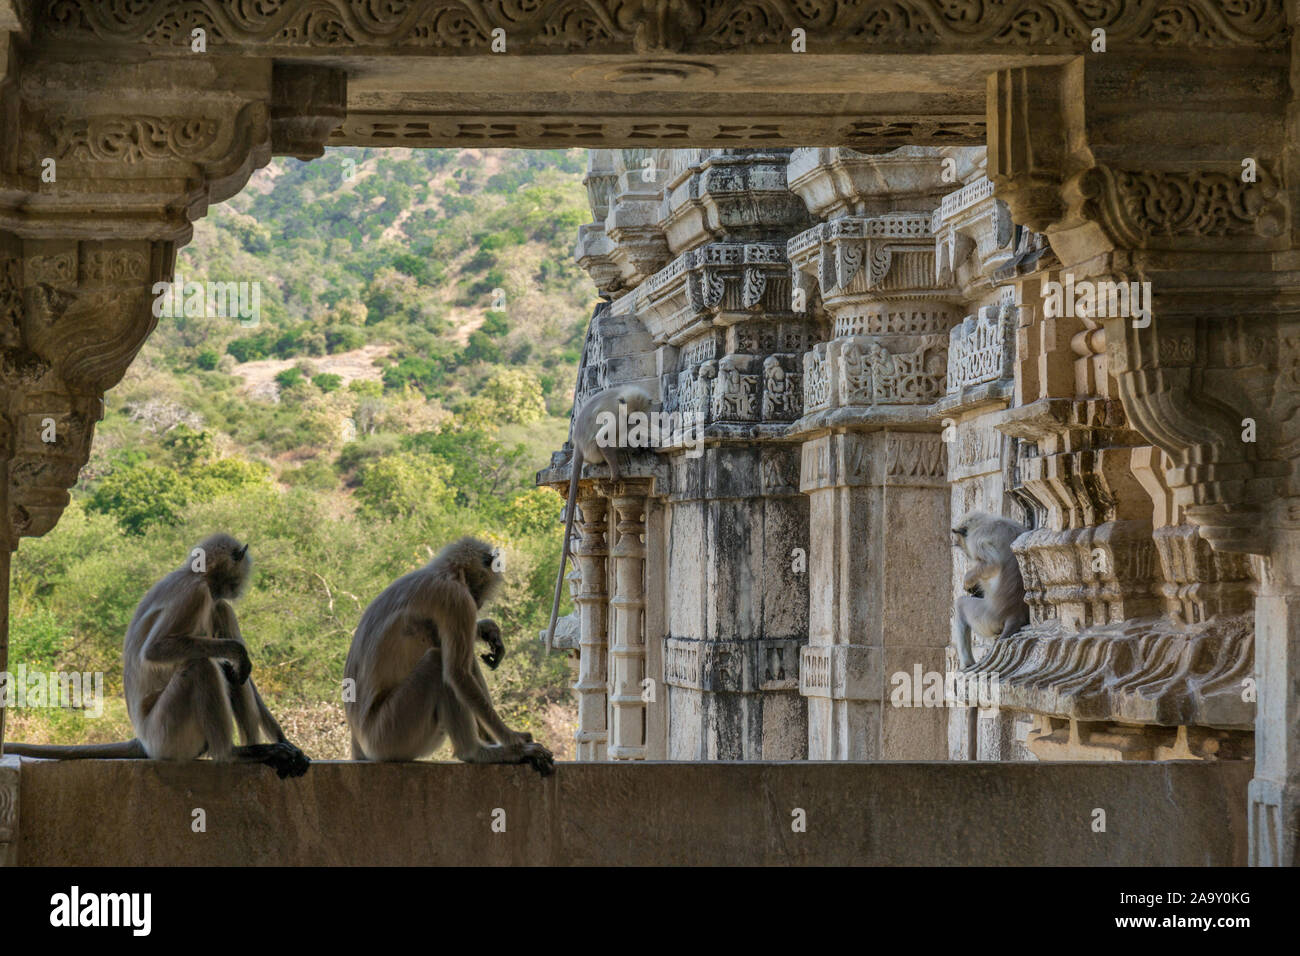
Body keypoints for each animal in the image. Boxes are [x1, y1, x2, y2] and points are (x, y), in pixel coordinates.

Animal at [4, 534, 310, 779]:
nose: (243, 581)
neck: (195, 574)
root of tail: (142, 740)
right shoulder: (195, 593)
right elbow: (156, 649)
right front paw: (237, 651)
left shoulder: (210, 597)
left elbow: (237, 665)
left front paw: (287, 742)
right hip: (166, 733)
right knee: (201, 665)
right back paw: (232, 754)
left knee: (222, 651)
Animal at [344, 536, 554, 775]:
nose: (480, 603)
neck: (443, 572)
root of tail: (359, 741)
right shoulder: (456, 598)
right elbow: (457, 674)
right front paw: (514, 739)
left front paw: (486, 629)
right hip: (390, 734)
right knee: (439, 666)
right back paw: (476, 752)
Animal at [545, 383, 653, 648]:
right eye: (627, 413)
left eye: (637, 414)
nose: (632, 420)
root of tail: (578, 445)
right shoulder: (616, 416)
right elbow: (607, 438)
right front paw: (616, 471)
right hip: (593, 450)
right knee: (607, 439)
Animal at [951, 511, 1030, 670]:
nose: (966, 554)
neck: (983, 522)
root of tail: (1015, 613)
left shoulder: (976, 540)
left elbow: (992, 564)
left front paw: (967, 581)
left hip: (988, 617)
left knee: (960, 604)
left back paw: (967, 665)